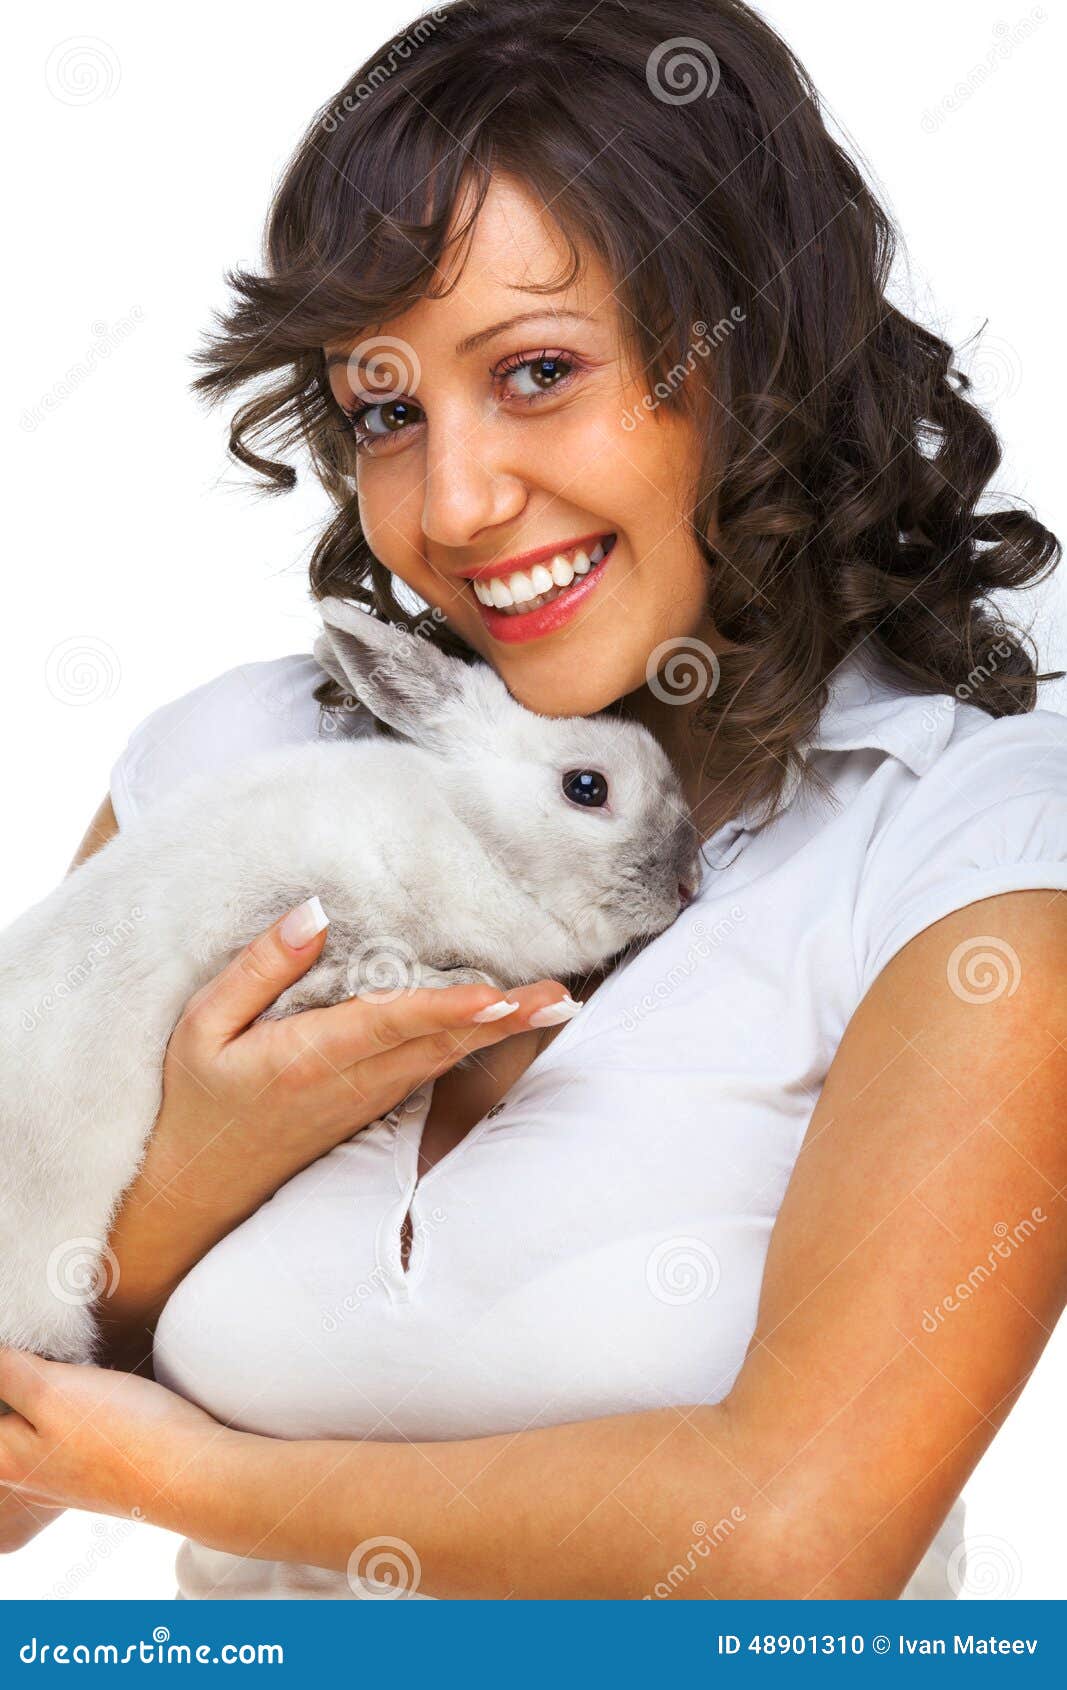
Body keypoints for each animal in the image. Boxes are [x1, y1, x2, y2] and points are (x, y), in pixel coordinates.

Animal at [0, 596, 702, 1393]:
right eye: (586, 787)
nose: (688, 884)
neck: (471, 833)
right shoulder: (300, 906)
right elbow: (364, 964)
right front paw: (456, 982)